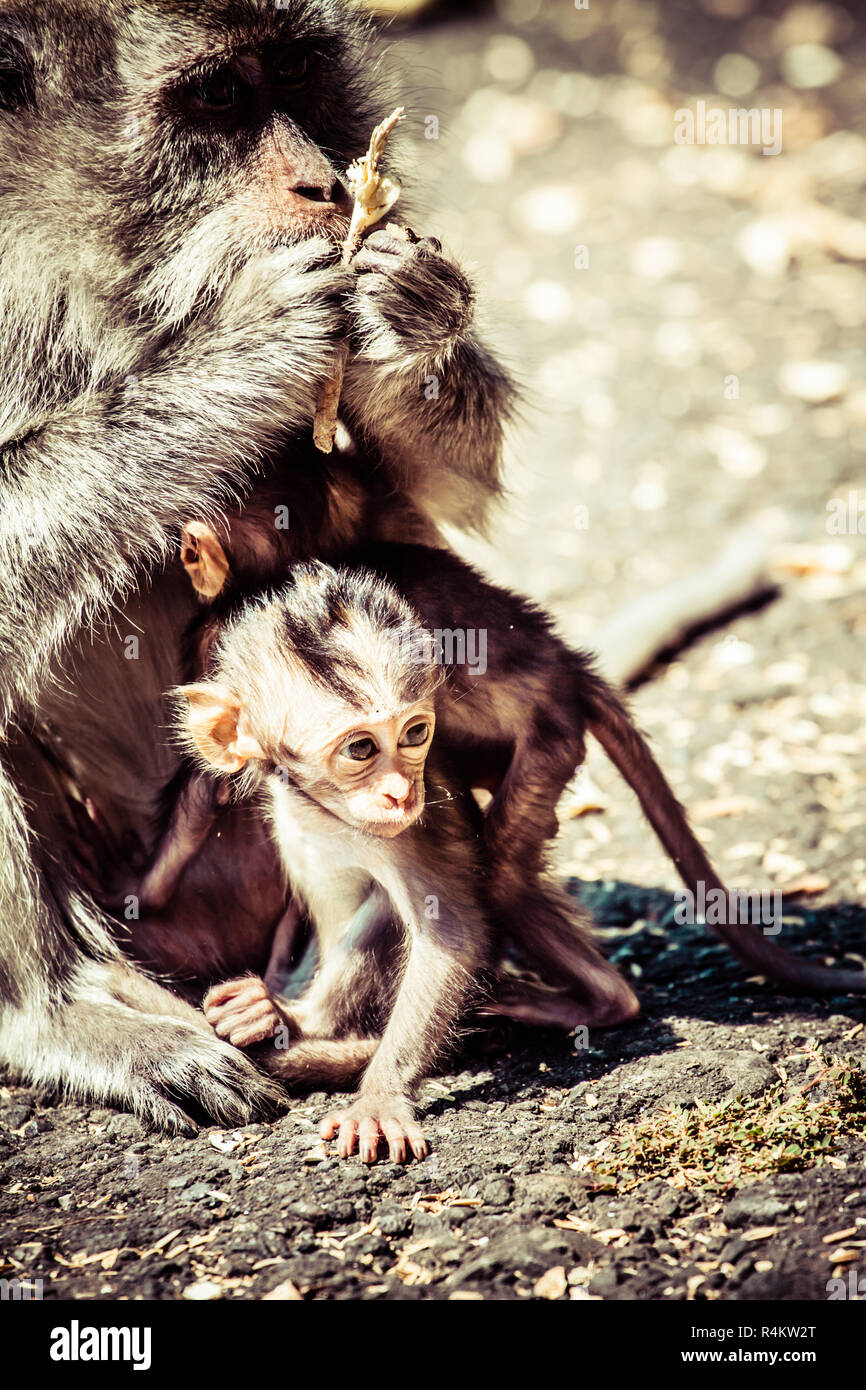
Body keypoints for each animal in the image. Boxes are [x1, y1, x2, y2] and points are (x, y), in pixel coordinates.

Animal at [0, 0, 516, 1133]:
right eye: (215, 97)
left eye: (288, 73)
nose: (324, 185)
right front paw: (242, 353)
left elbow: (436, 488)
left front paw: (409, 306)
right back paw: (57, 1014)